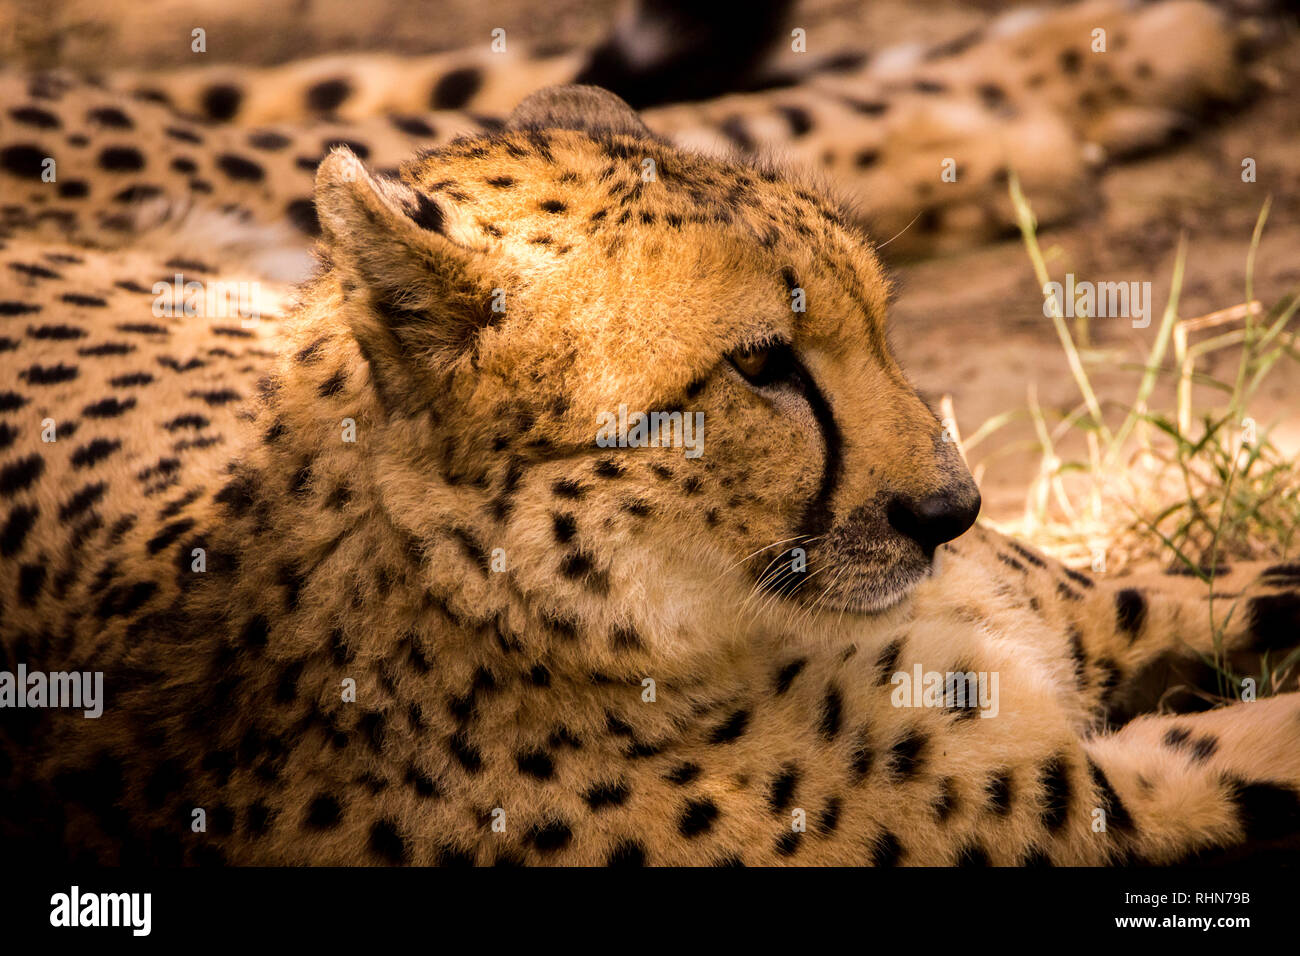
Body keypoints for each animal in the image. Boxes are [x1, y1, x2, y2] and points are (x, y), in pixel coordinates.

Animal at [1, 79, 1299, 866]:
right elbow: (1251, 754)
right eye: (762, 363)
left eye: (880, 324)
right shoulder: (1118, 805)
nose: (952, 510)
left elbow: (1217, 596)